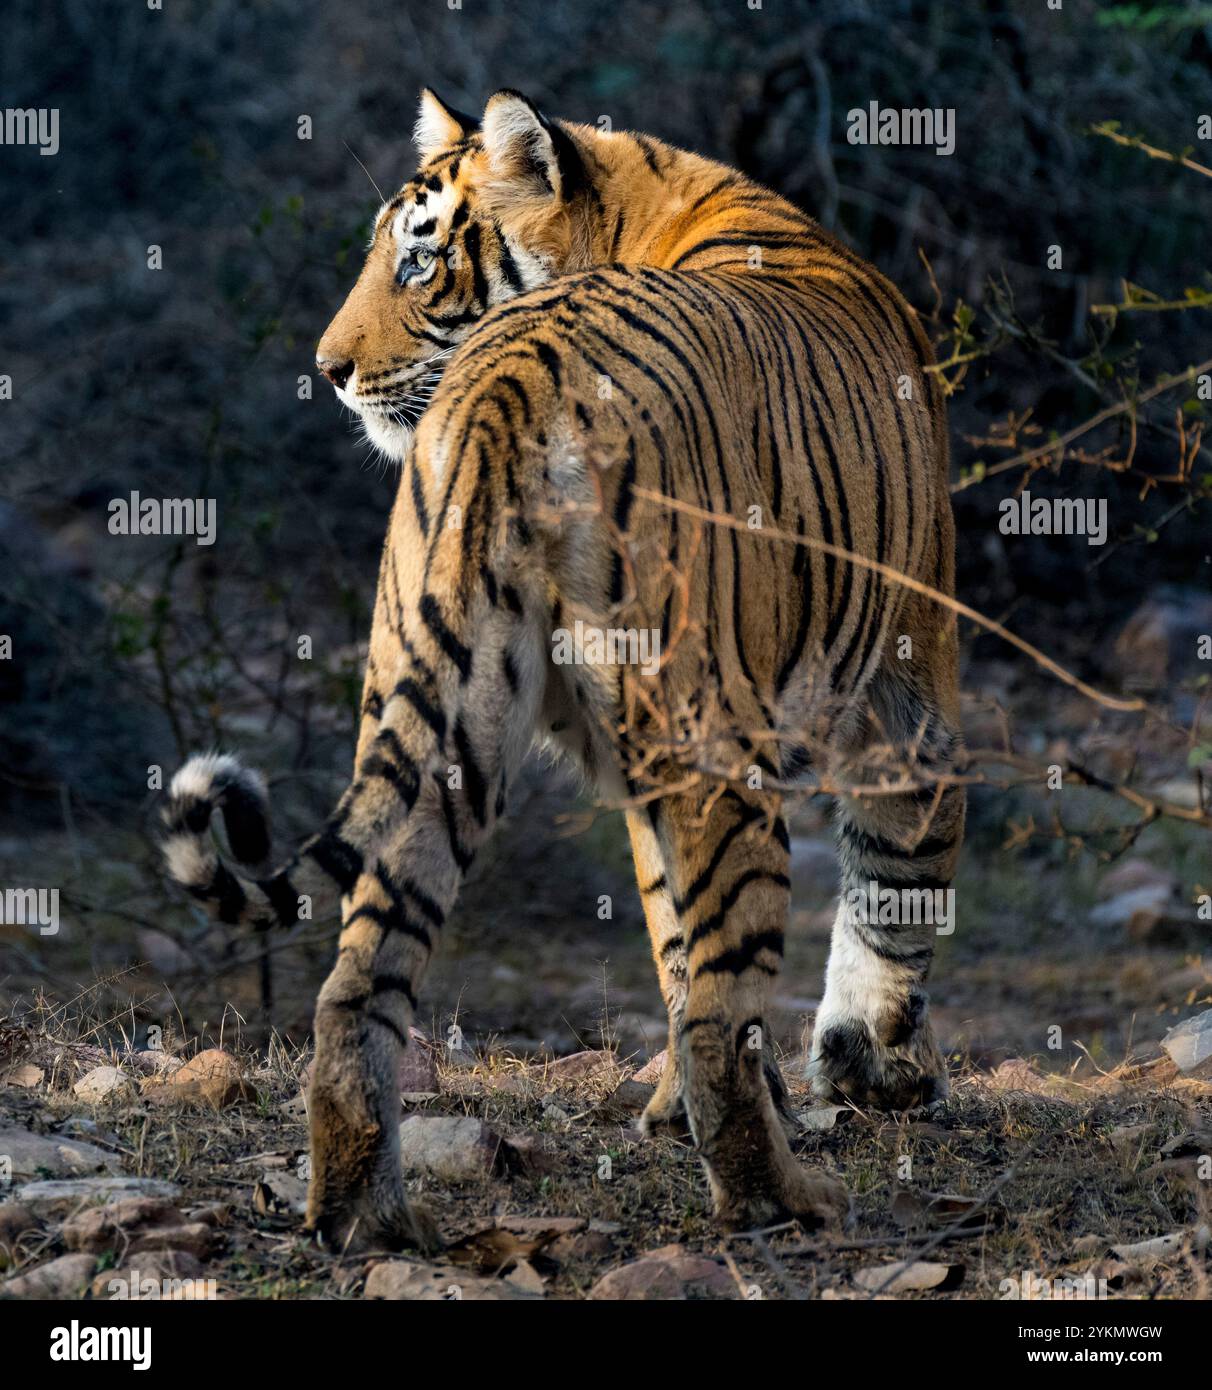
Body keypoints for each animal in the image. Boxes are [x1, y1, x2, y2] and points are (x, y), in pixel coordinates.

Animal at [161, 87, 964, 1252]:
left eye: (417, 262)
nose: (328, 370)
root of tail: (509, 377)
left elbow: (673, 933)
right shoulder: (910, 672)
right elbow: (896, 882)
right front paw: (880, 1069)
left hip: (437, 731)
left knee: (356, 992)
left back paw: (365, 1214)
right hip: (719, 751)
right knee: (725, 1018)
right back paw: (783, 1200)